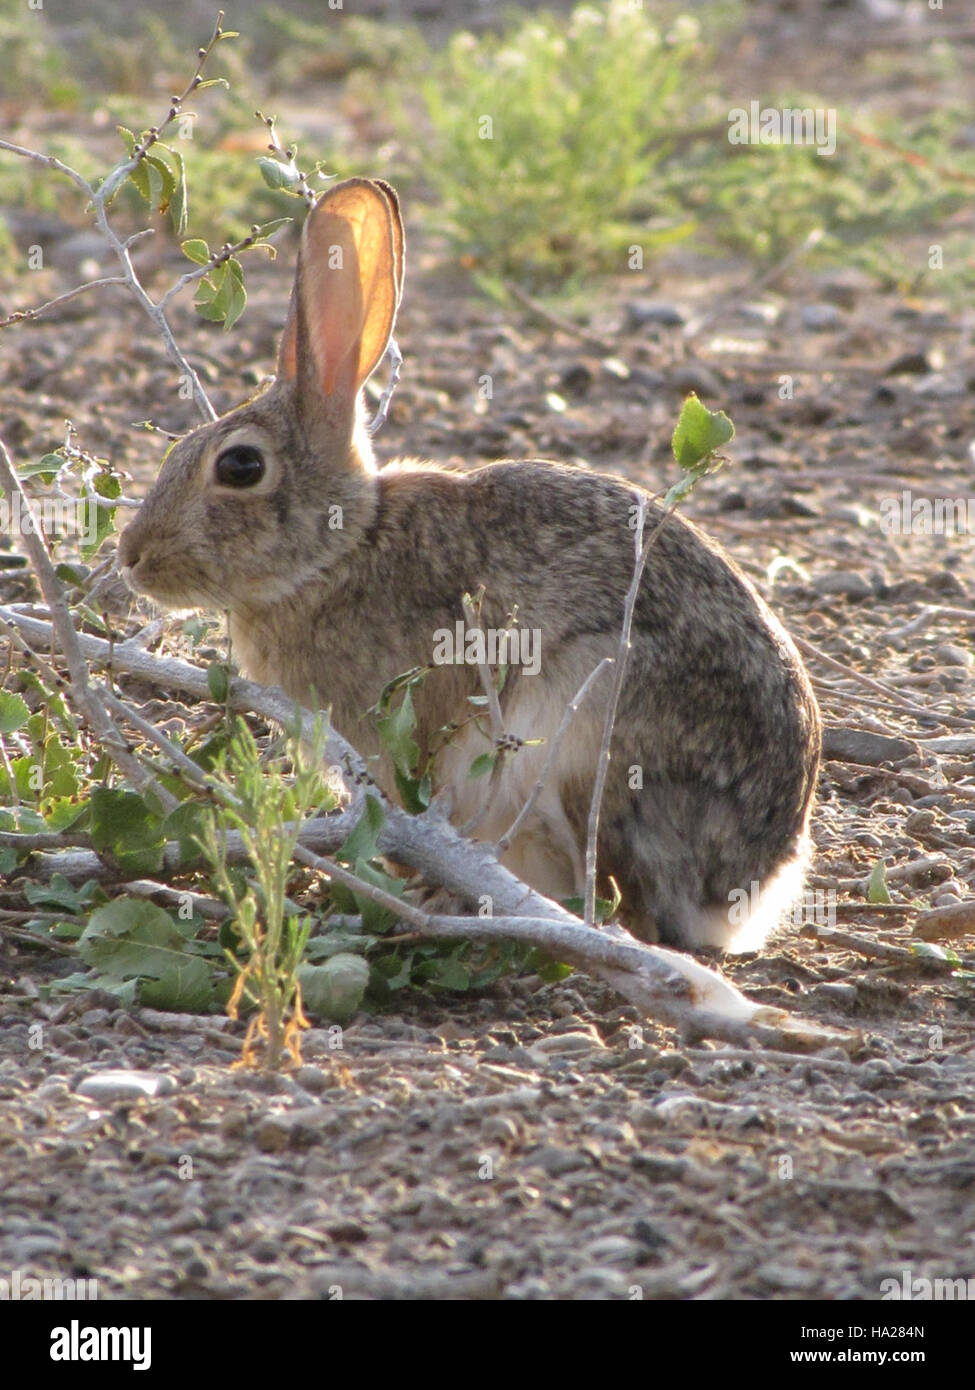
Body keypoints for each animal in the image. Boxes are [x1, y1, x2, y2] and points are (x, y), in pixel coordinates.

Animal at [118, 177, 821, 953]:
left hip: (589, 732)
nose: (131, 557)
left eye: (240, 467)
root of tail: (745, 887)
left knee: (622, 909)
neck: (342, 548)